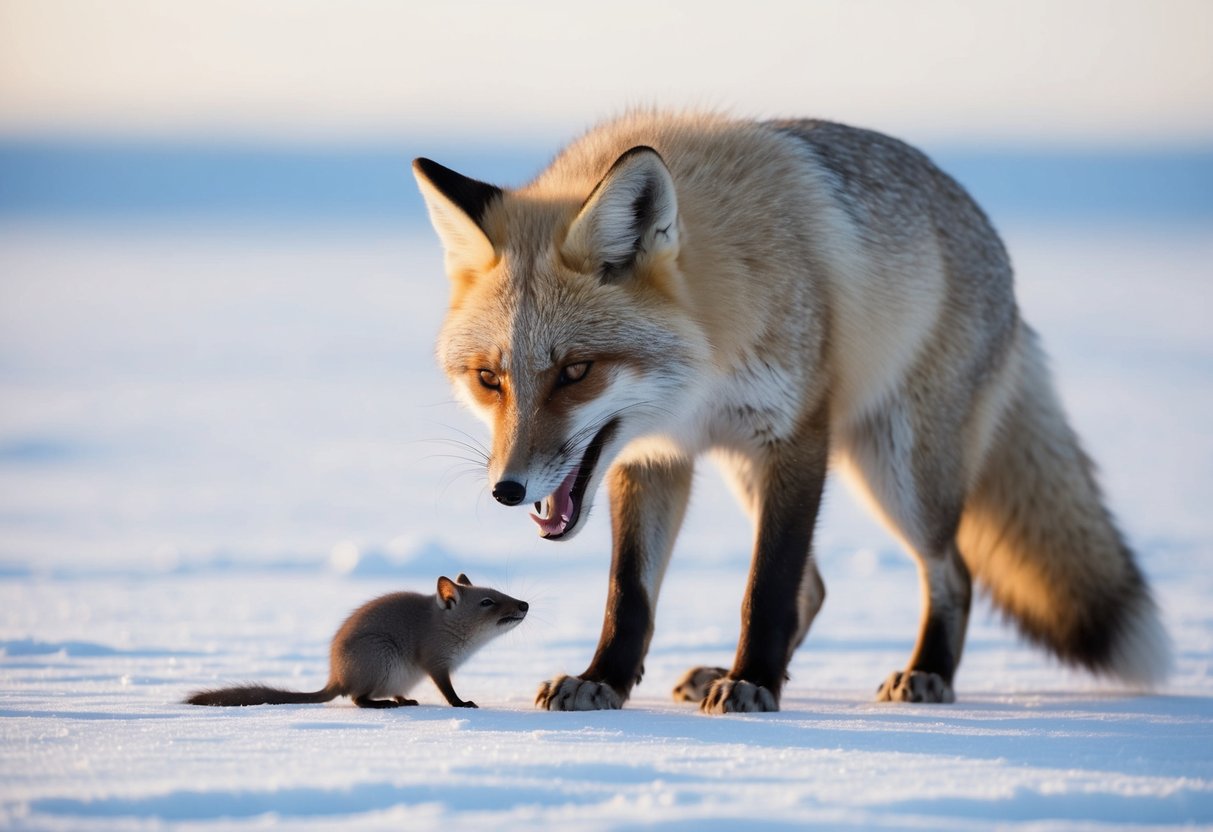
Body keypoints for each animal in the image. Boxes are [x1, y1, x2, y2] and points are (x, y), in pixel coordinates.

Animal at [411, 110, 1170, 713]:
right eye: (490, 379)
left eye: (574, 371)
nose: (507, 491)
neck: (704, 366)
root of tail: (991, 239)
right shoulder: (653, 456)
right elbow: (630, 597)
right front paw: (605, 681)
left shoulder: (797, 436)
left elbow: (767, 586)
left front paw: (754, 685)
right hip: (755, 469)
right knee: (821, 587)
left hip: (900, 474)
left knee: (951, 571)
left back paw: (926, 672)